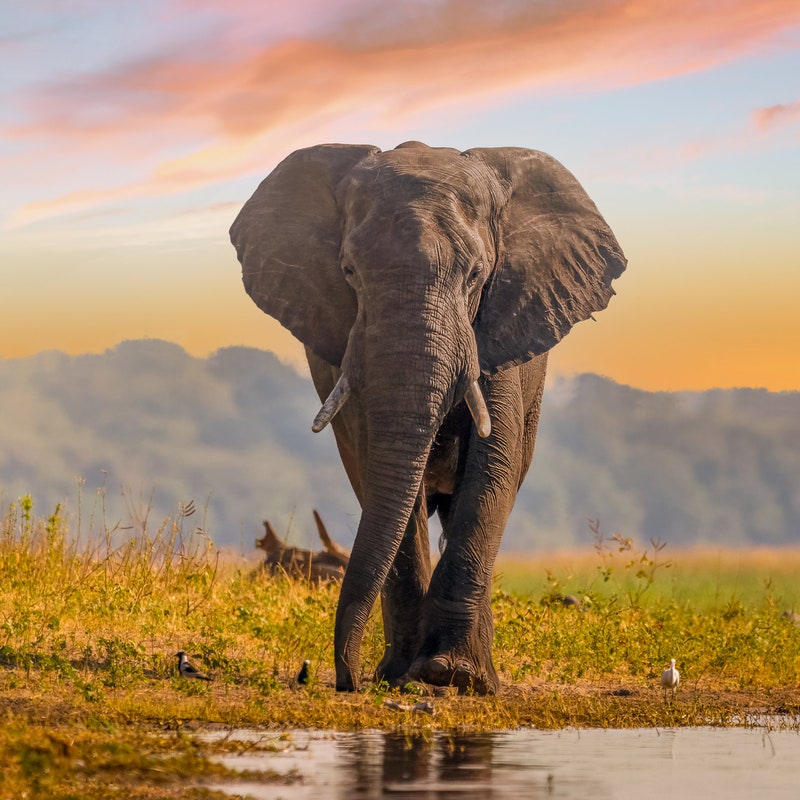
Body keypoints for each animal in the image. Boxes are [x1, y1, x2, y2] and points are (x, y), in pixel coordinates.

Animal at [230, 141, 626, 693]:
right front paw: (403, 675)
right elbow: (375, 461)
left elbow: (494, 461)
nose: (349, 679)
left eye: (477, 275)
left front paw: (451, 675)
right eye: (349, 272)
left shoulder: (500, 325)